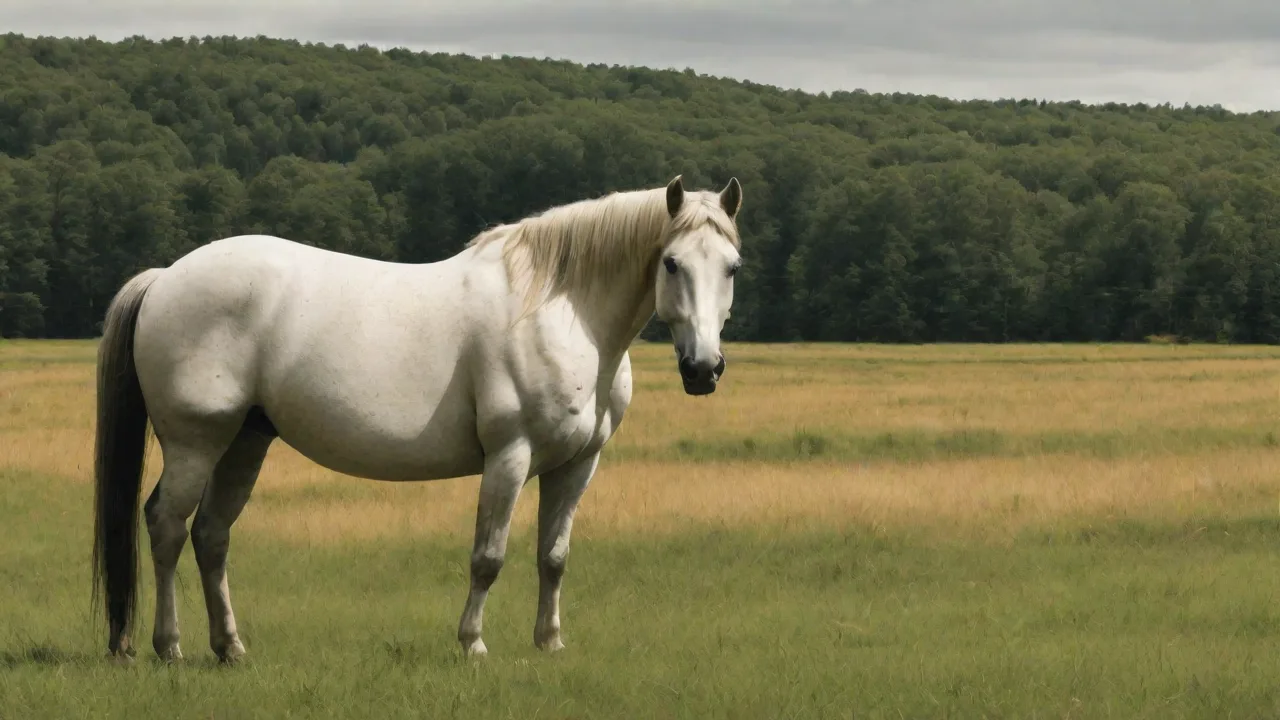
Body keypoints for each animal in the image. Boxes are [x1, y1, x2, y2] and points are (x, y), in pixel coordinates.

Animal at [91, 174, 744, 663]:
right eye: (671, 263)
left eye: (732, 267)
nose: (702, 369)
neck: (560, 312)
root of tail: (165, 279)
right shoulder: (510, 456)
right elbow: (488, 556)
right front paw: (472, 643)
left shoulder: (577, 465)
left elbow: (553, 558)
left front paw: (549, 643)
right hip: (196, 442)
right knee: (168, 526)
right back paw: (168, 646)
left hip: (245, 442)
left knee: (211, 535)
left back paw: (229, 648)